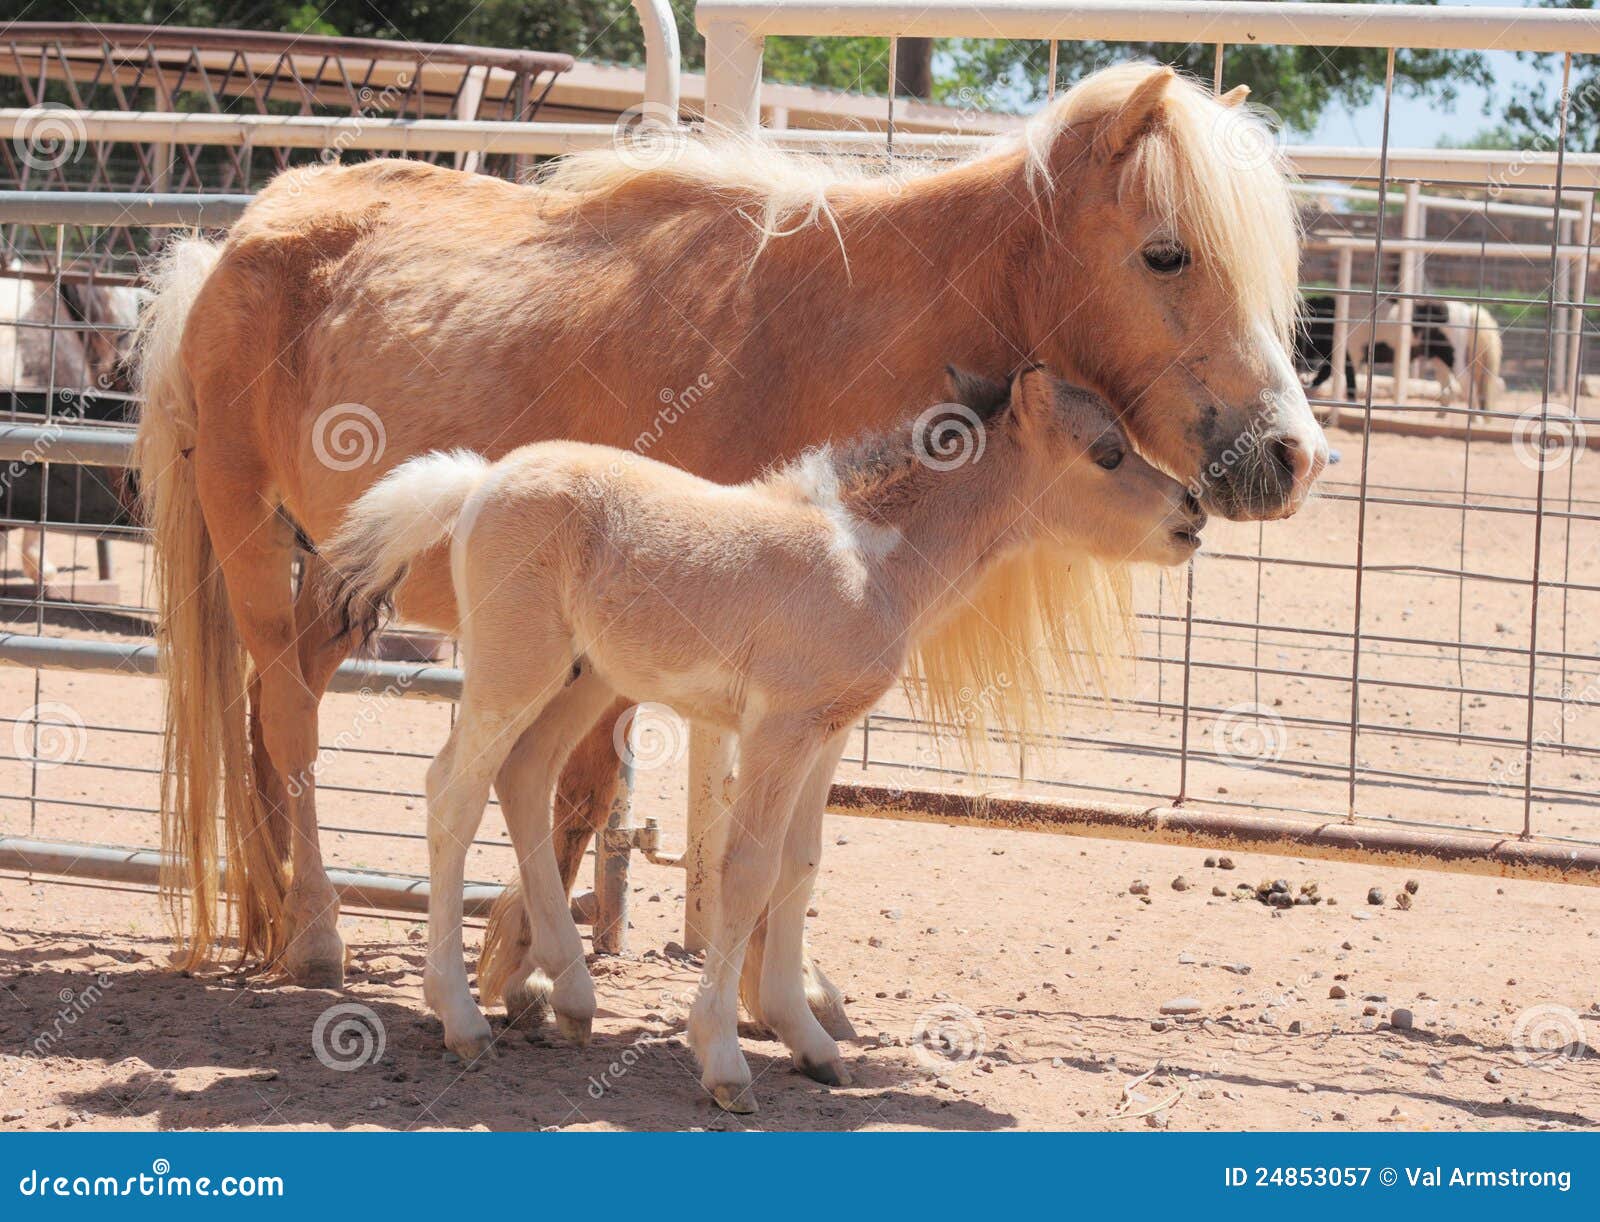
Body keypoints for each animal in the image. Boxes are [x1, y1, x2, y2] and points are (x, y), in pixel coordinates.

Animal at [131, 63, 1326, 1029]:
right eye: (1166, 253)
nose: (1292, 456)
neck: (818, 334)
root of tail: (232, 241)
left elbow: (720, 829)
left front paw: (768, 994)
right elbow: (591, 797)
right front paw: (538, 969)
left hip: (339, 578)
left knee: (270, 713)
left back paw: (274, 906)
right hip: (253, 540)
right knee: (290, 715)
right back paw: (317, 930)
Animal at [320, 364, 1204, 1110]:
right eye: (1108, 453)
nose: (1193, 513)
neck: (870, 560)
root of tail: (478, 482)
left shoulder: (828, 731)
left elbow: (800, 865)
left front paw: (807, 1041)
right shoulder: (779, 728)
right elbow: (745, 872)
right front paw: (724, 1062)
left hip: (586, 678)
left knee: (525, 778)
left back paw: (572, 998)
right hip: (514, 670)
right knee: (454, 793)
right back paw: (462, 1020)